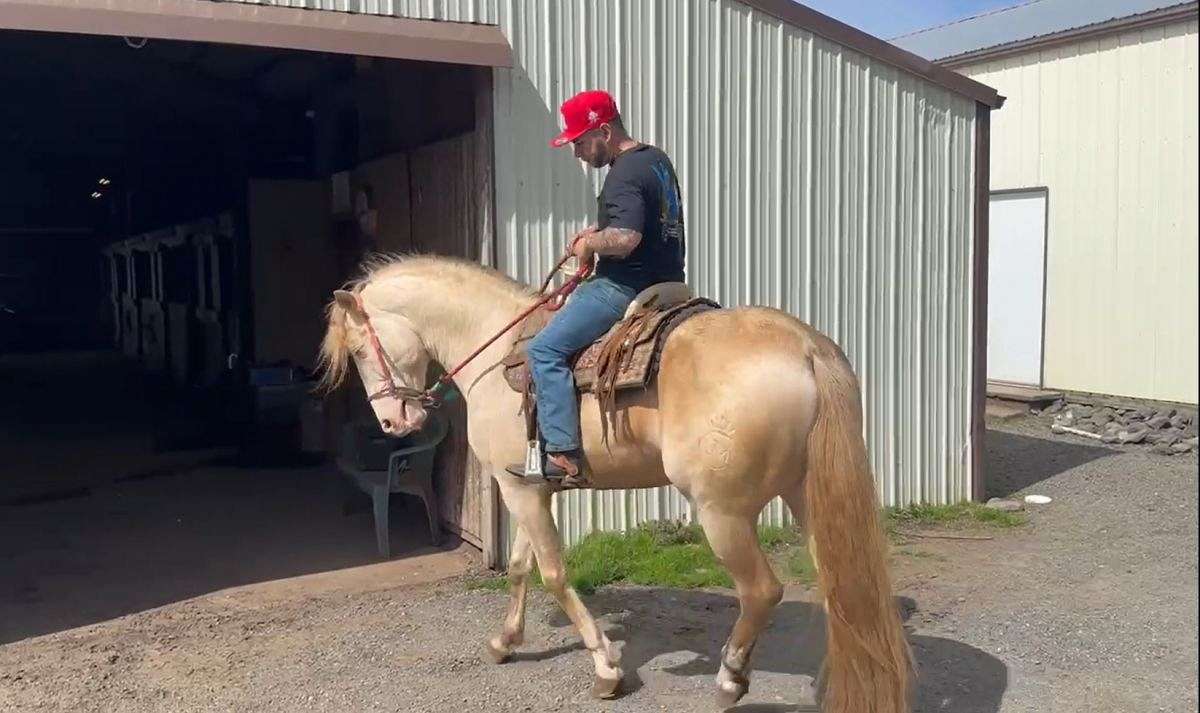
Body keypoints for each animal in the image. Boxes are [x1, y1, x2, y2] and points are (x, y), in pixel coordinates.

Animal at [318, 254, 911, 712]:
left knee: (763, 591)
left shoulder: (520, 491)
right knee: (841, 587)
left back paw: (729, 678)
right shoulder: (531, 487)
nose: (393, 424)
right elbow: (520, 567)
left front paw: (606, 668)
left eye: (362, 351)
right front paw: (506, 641)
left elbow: (554, 574)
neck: (496, 348)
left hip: (722, 512)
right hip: (806, 496)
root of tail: (805, 347)